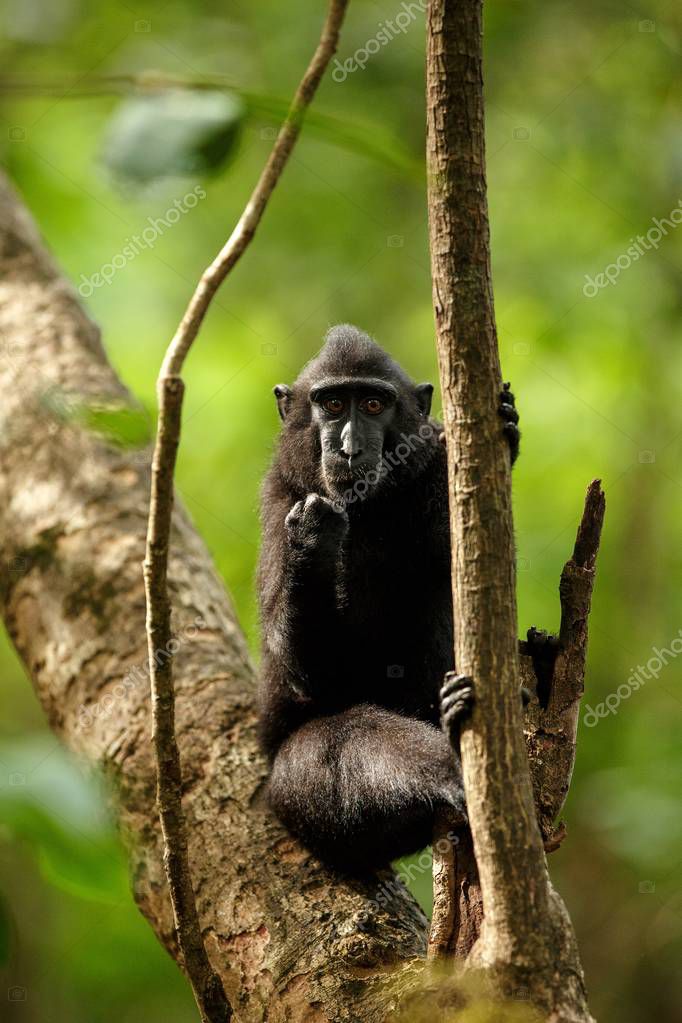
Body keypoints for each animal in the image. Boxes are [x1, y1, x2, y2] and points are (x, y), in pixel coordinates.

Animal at [257, 324, 520, 874]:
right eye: (333, 403)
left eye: (375, 404)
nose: (349, 448)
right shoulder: (279, 500)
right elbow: (309, 674)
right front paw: (313, 538)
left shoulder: (437, 465)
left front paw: (506, 427)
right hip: (295, 798)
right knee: (343, 745)